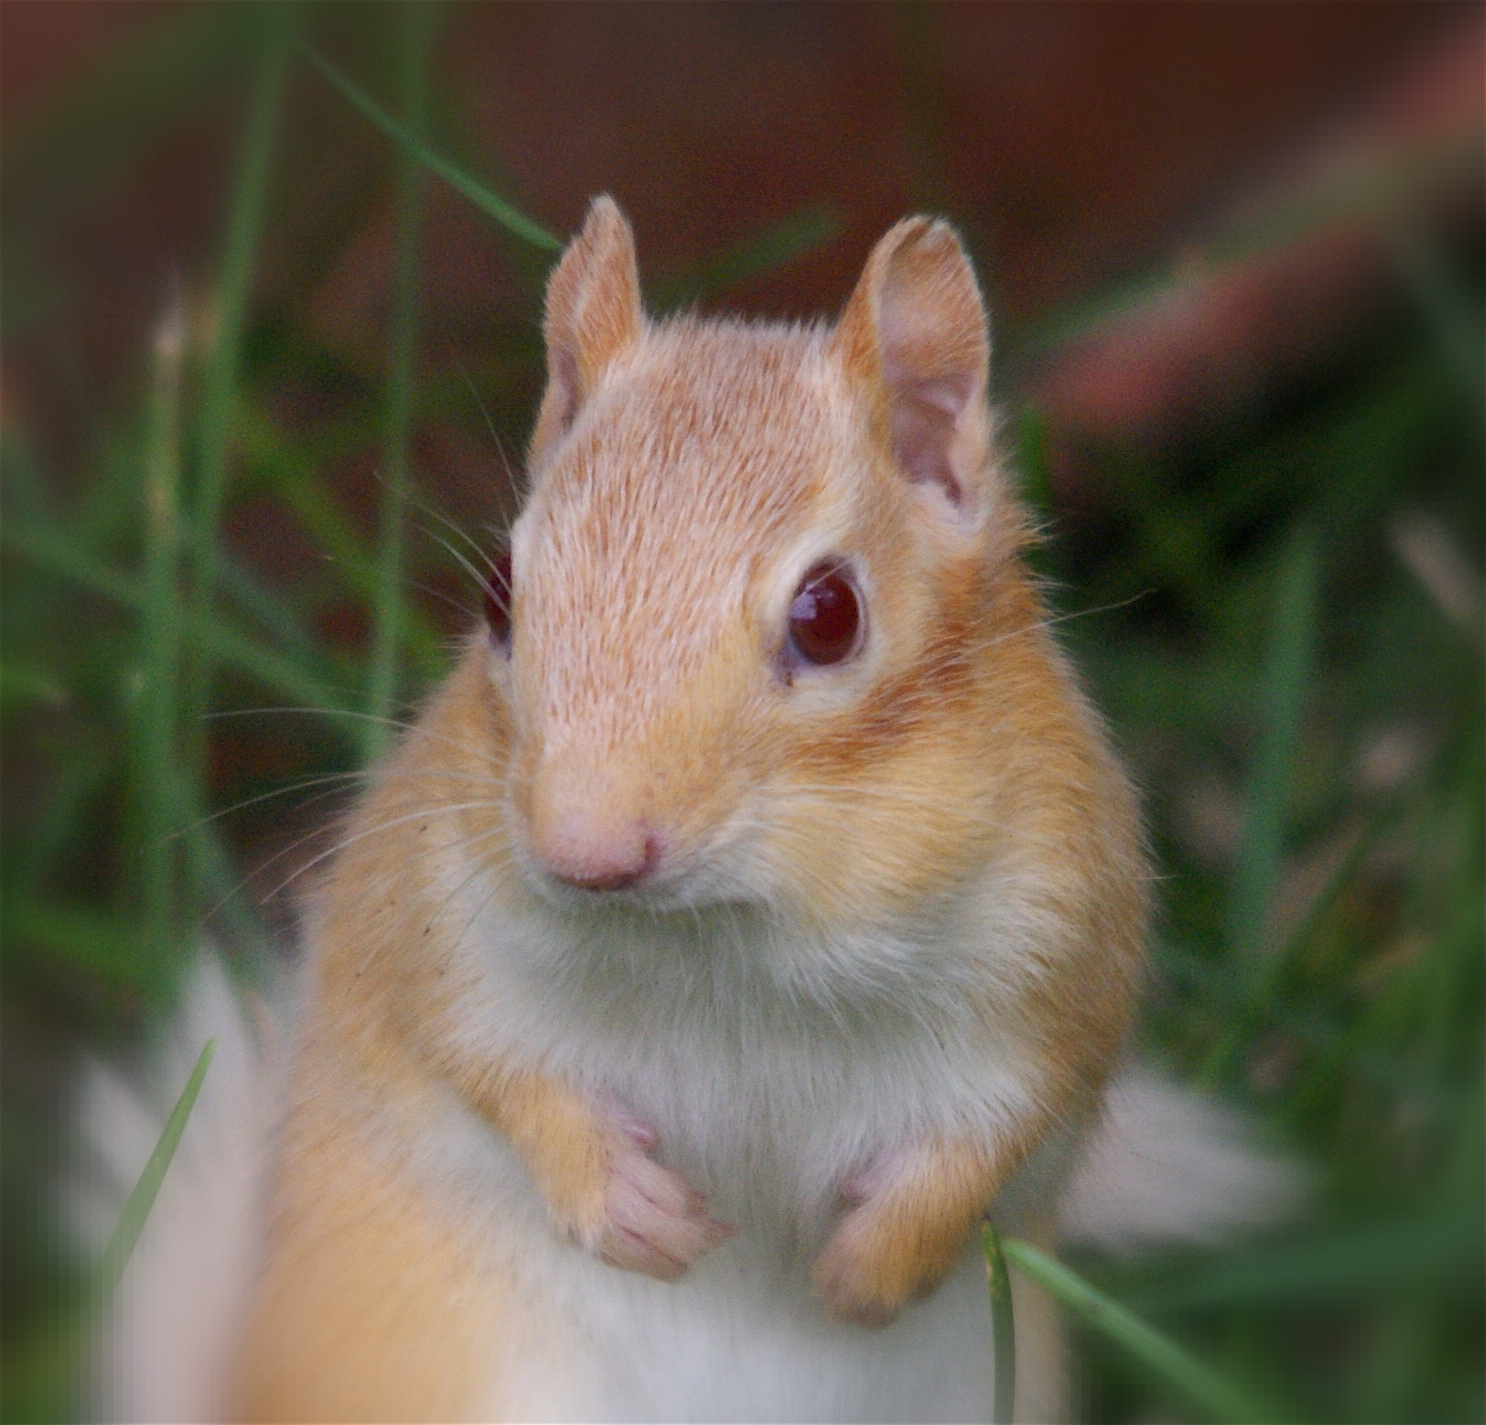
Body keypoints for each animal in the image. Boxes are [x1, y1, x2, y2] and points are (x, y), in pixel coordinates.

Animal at [139, 197, 1155, 1423]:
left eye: (831, 616)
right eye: (499, 593)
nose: (585, 851)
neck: (722, 942)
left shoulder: (1059, 959)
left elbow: (994, 1142)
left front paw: (871, 1268)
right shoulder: (431, 931)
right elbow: (488, 1071)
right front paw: (622, 1204)